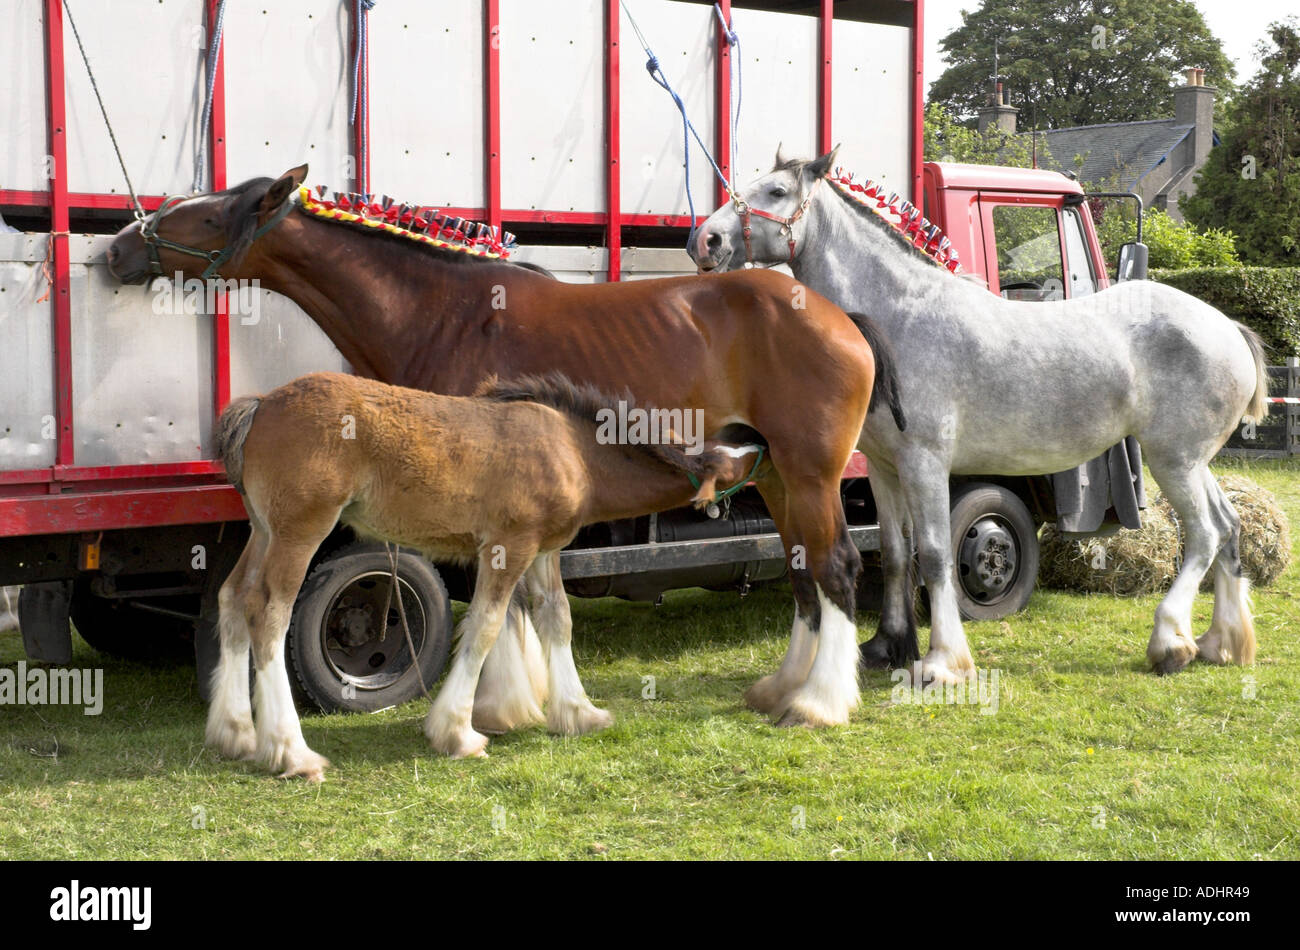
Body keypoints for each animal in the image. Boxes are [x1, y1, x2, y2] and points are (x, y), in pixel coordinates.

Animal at [107, 165, 901, 728]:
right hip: (774, 475)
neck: (443, 313)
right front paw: (518, 702)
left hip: (811, 474)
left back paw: (820, 703)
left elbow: (506, 607)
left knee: (836, 565)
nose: (117, 249)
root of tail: (843, 317)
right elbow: (523, 604)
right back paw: (783, 689)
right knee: (802, 573)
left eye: (210, 212)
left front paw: (498, 705)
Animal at [209, 370, 771, 779]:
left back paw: (236, 732)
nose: (763, 445)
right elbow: (484, 626)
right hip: (301, 531)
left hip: (263, 529)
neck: (573, 450)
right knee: (270, 614)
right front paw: (457, 733)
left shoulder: (544, 550)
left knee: (234, 598)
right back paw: (290, 750)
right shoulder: (508, 546)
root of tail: (260, 405)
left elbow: (557, 619)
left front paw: (579, 712)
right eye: (741, 466)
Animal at [691, 147, 1266, 686]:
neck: (901, 316)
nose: (706, 240)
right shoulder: (884, 468)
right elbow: (895, 553)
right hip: (1191, 463)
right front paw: (887, 646)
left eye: (777, 191)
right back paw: (1221, 642)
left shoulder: (926, 464)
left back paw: (1170, 643)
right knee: (1229, 525)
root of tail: (1228, 327)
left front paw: (941, 662)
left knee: (1204, 534)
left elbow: (936, 555)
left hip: (1172, 460)